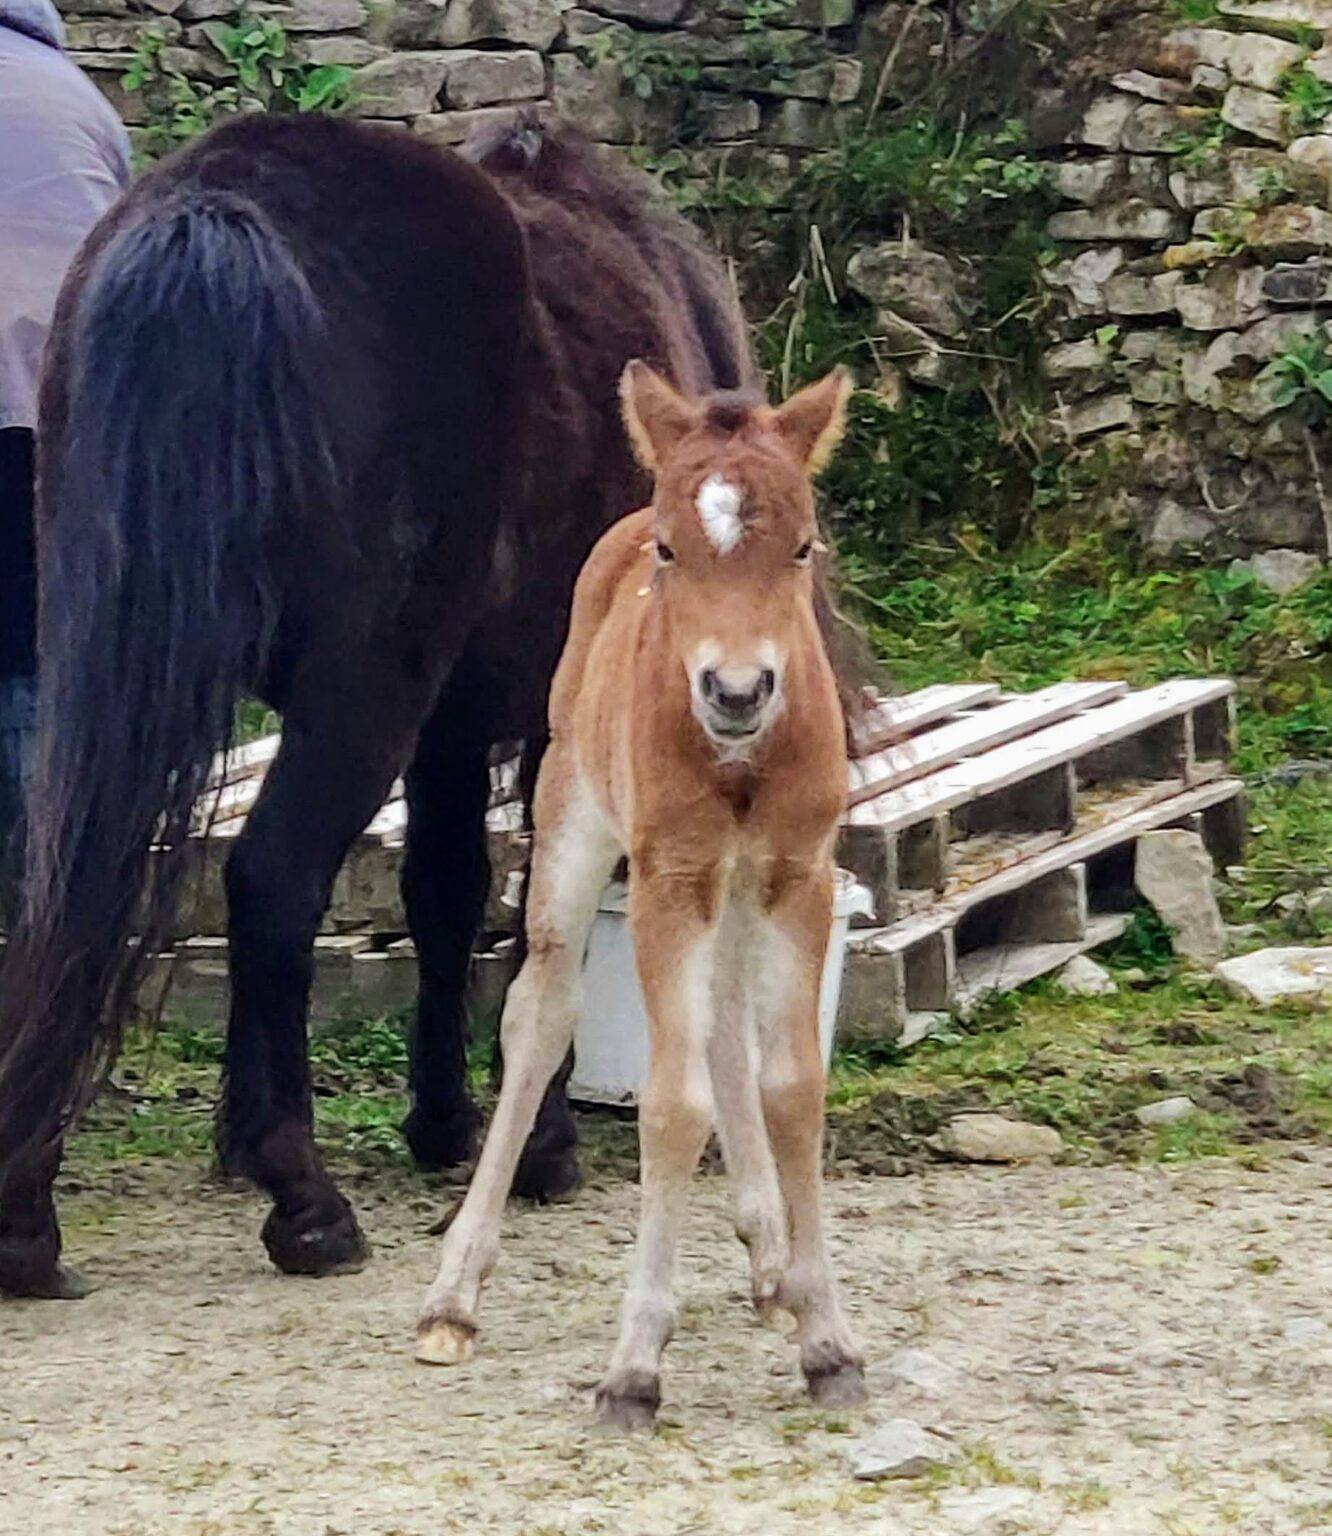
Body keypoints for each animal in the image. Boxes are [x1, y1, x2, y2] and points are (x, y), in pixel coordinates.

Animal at [0, 110, 762, 1299]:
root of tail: (219, 205)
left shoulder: (450, 727)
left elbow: (445, 893)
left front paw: (443, 1120)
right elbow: (538, 912)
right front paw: (538, 1144)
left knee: (74, 886)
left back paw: (29, 1211)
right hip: (361, 695)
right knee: (271, 882)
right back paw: (304, 1200)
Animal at [415, 362, 868, 1428]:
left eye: (802, 547)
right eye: (672, 549)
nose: (736, 691)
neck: (742, 761)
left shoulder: (797, 877)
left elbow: (793, 1088)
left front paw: (827, 1339)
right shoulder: (668, 879)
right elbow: (668, 1104)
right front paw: (633, 1367)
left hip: (734, 894)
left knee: (726, 1030)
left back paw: (770, 1264)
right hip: (576, 828)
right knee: (540, 1017)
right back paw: (453, 1298)